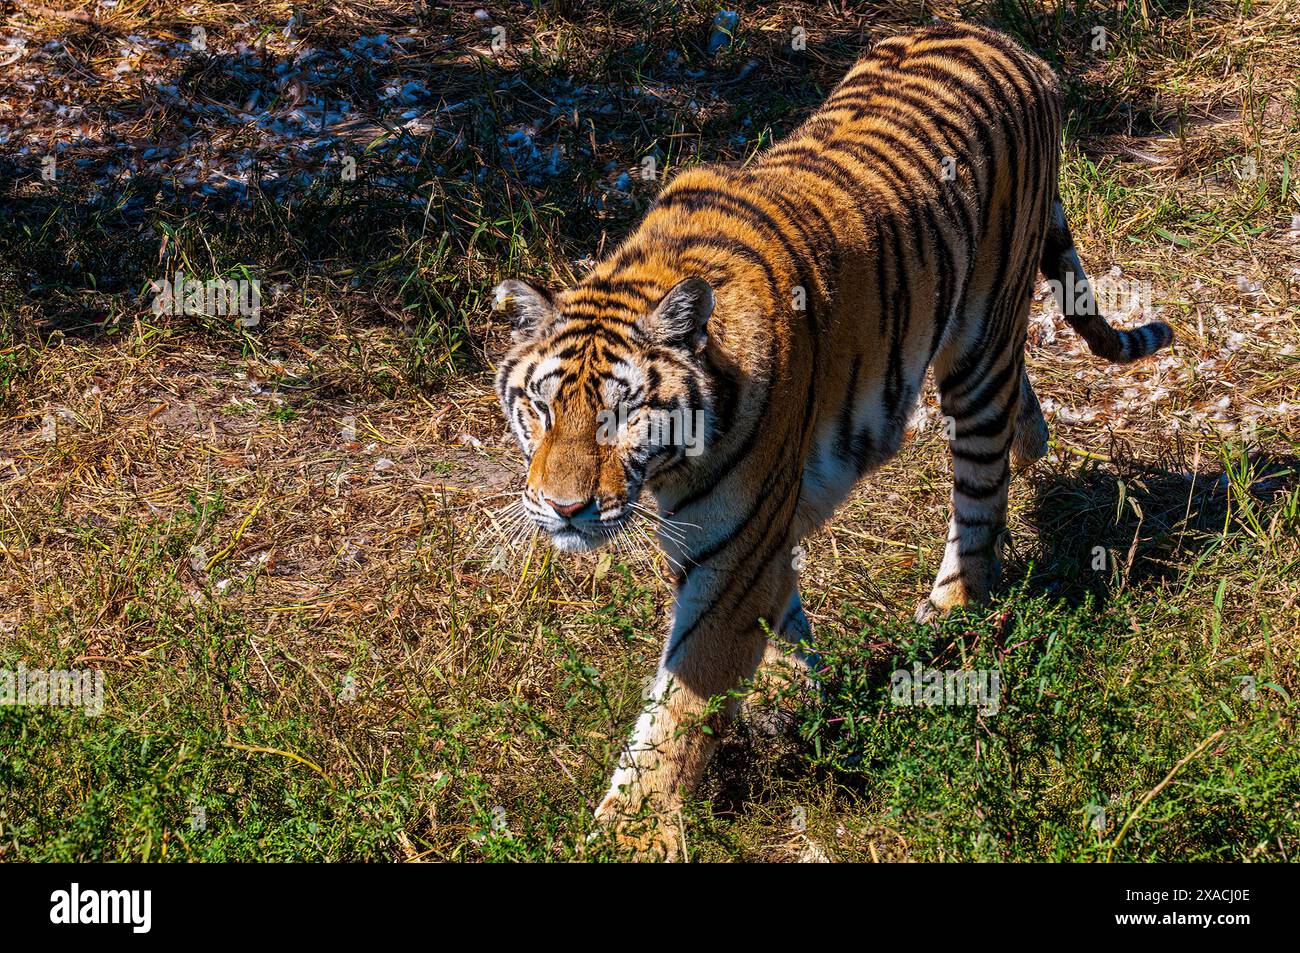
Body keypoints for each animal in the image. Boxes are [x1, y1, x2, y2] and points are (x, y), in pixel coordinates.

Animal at [492, 20, 1172, 857]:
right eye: (541, 407)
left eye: (625, 414)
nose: (563, 509)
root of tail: (1006, 40)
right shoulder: (748, 538)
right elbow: (779, 622)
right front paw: (798, 694)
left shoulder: (731, 551)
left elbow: (679, 707)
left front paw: (631, 833)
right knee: (1017, 413)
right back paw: (1033, 439)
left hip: (978, 349)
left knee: (980, 500)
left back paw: (948, 618)